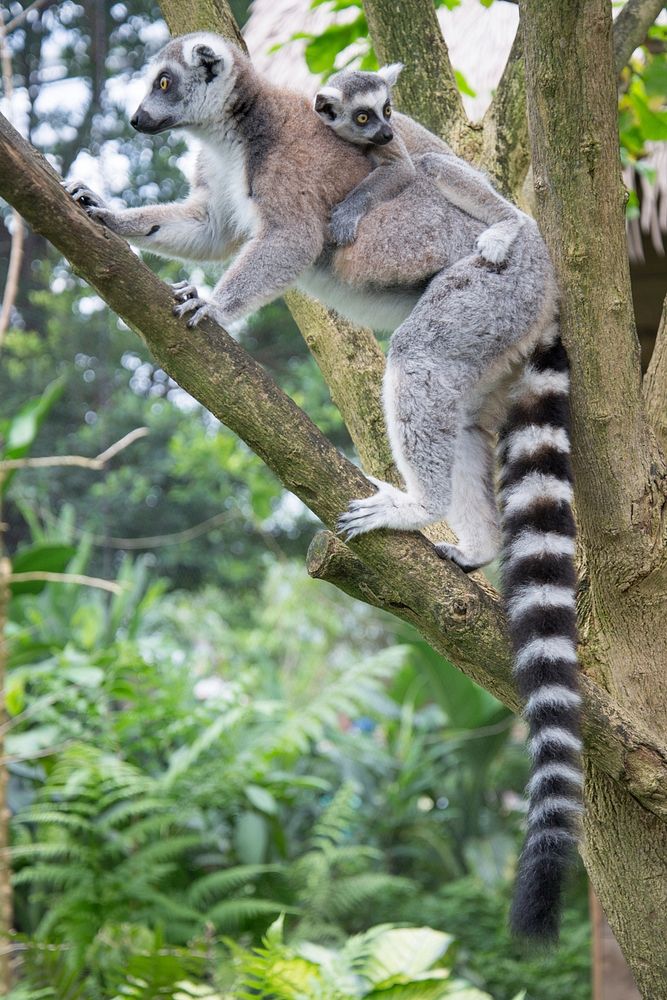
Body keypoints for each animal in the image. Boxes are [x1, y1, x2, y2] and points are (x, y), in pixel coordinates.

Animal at [313, 64, 527, 267]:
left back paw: (505, 222)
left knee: (431, 161)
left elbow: (402, 167)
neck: (360, 142)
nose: (388, 134)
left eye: (387, 110)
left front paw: (347, 213)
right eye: (362, 117)